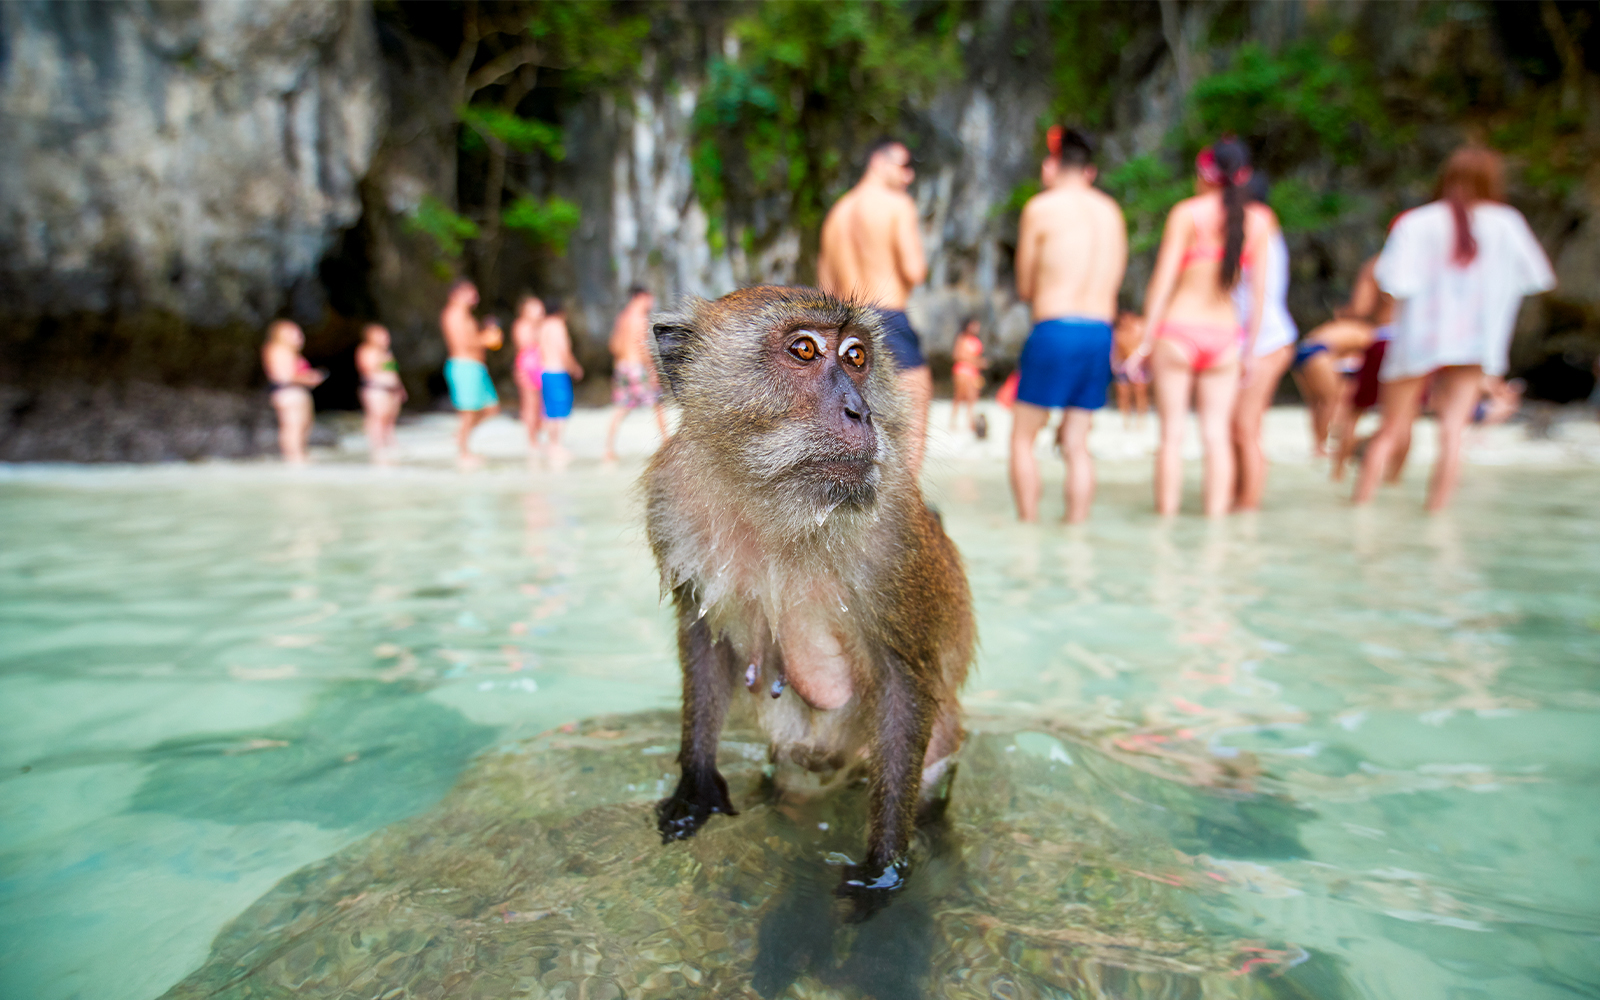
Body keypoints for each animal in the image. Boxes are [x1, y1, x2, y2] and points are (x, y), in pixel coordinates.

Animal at [643, 285, 974, 904]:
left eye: (856, 357)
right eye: (803, 349)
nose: (861, 411)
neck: (778, 504)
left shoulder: (893, 536)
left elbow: (902, 683)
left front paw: (884, 869)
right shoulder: (671, 503)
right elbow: (705, 642)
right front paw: (695, 784)